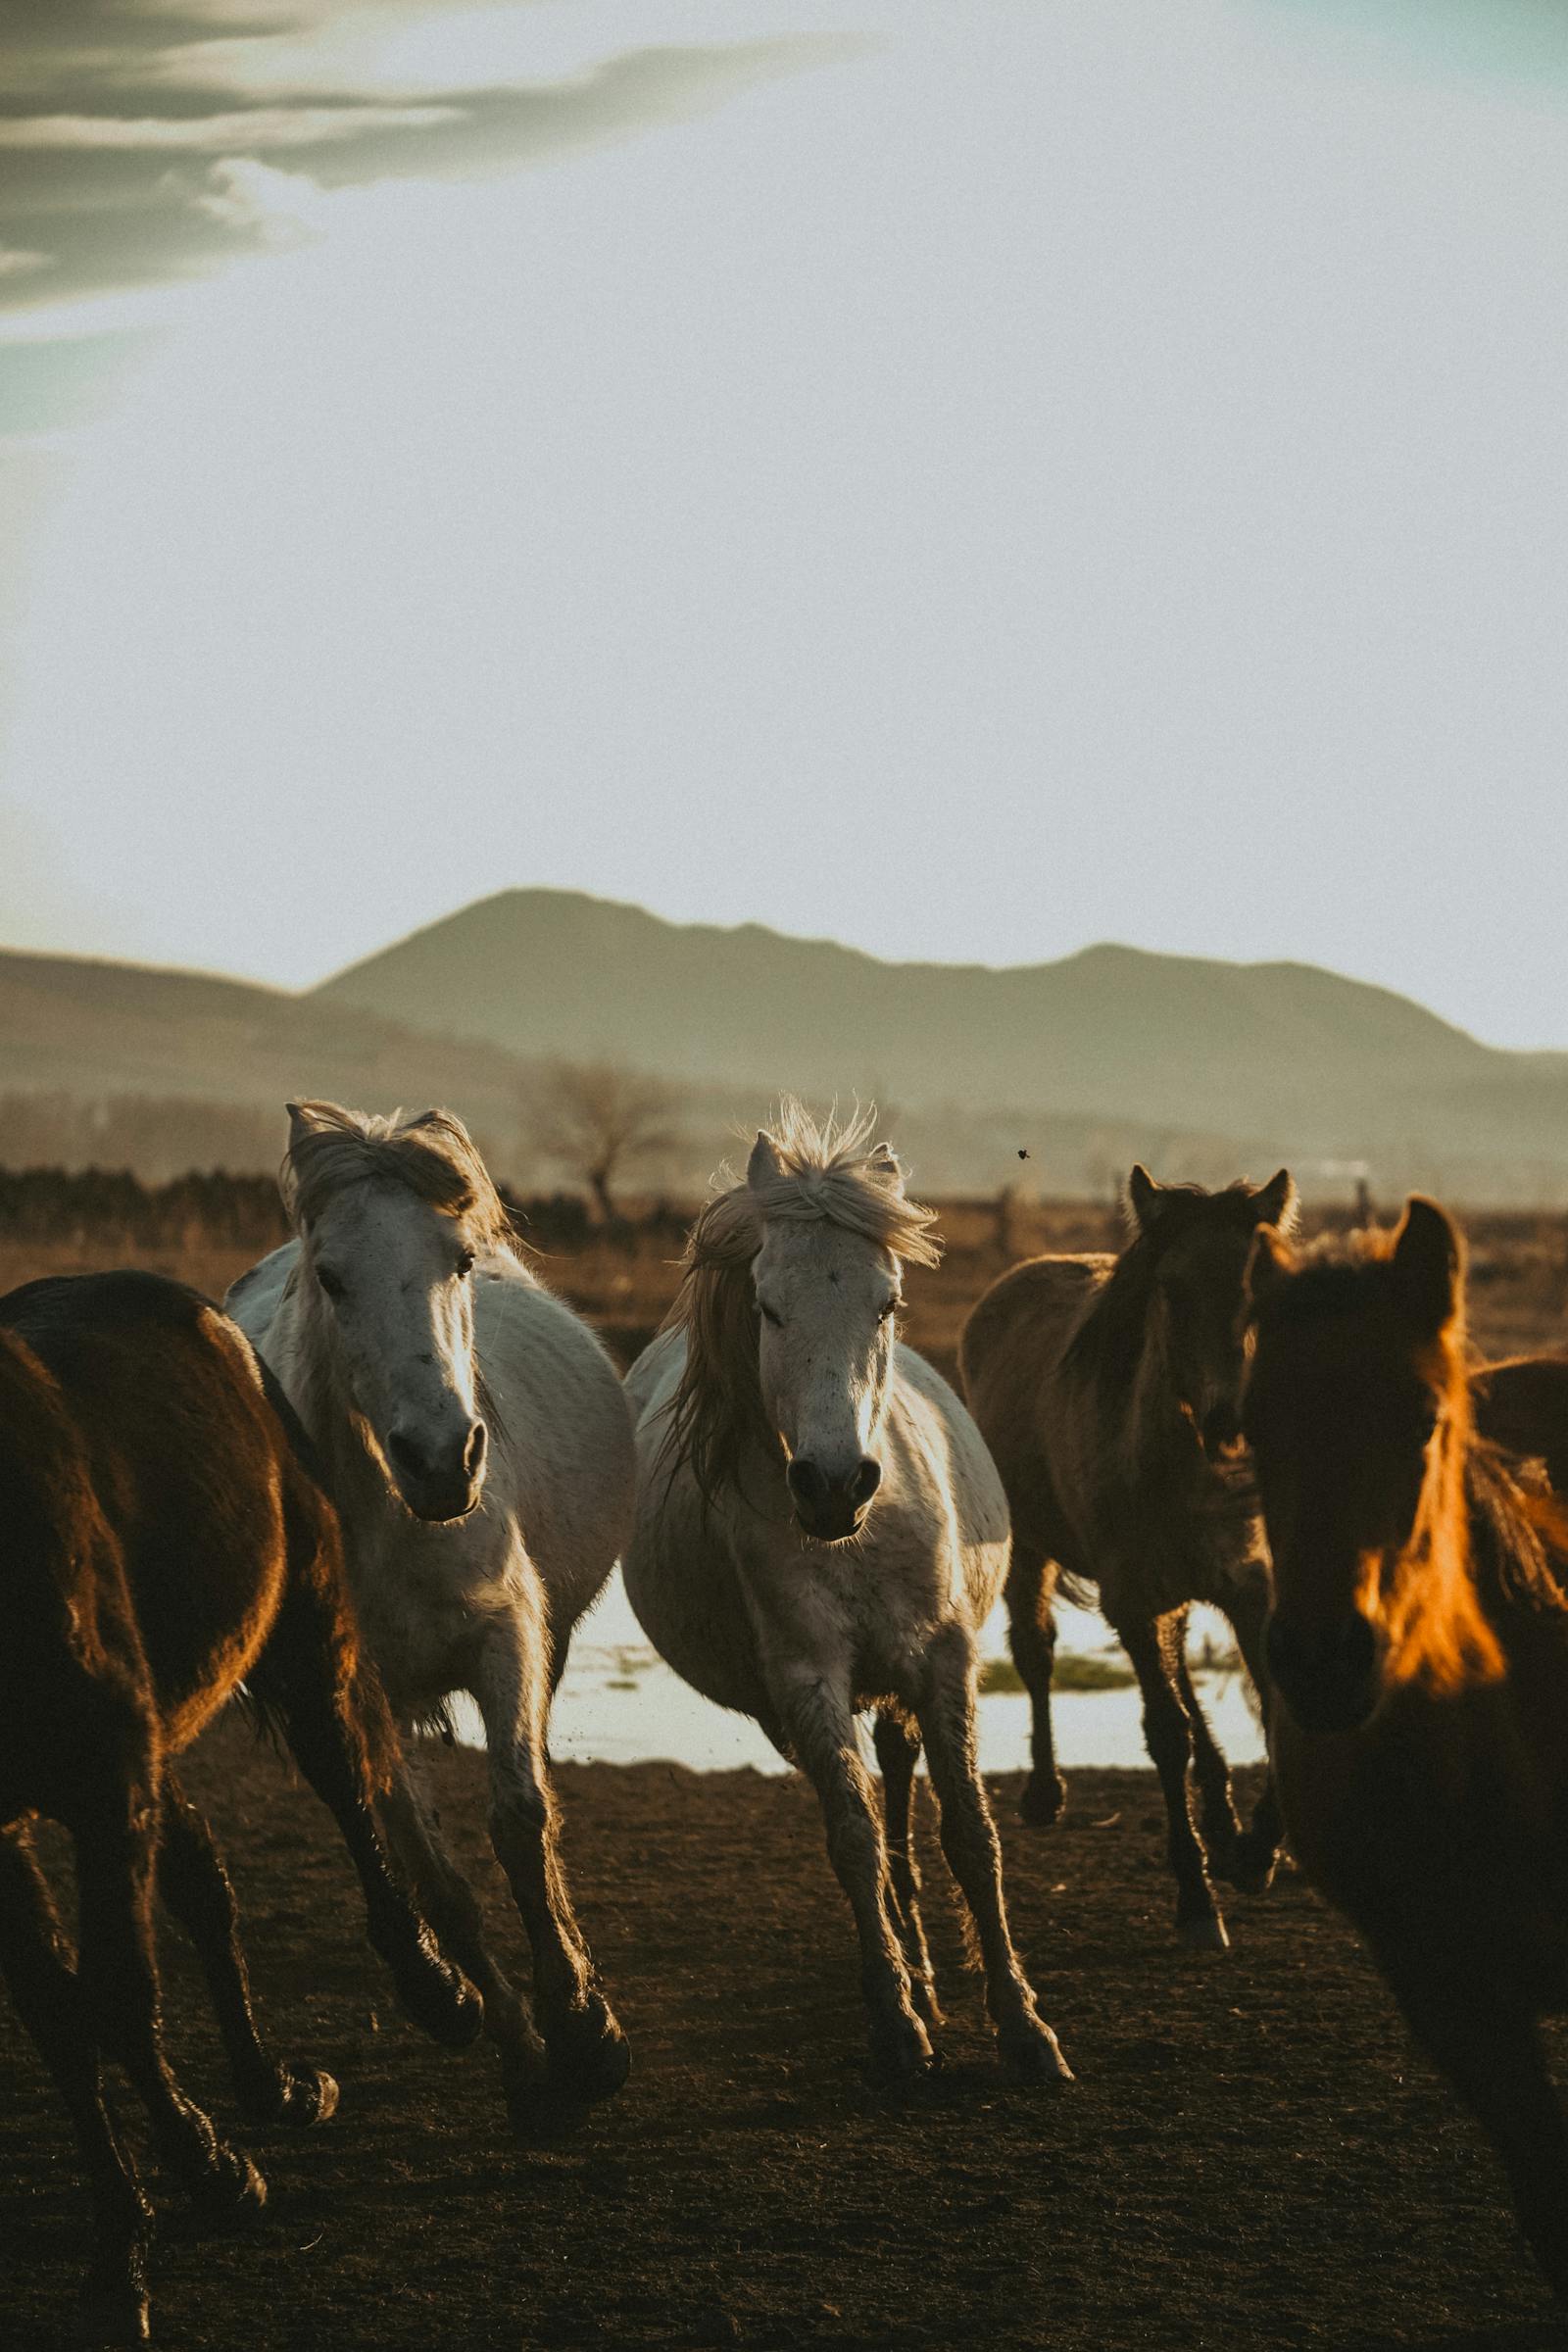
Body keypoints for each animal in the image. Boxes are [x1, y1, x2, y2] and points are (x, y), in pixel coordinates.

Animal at [0, 1270, 481, 2347]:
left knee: (347, 1791)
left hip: (302, 1631)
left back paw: (437, 1992)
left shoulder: (105, 1776)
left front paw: (197, 2181)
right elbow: (61, 2016)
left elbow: (117, 1995)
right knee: (205, 1888)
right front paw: (136, 2226)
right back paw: (273, 2088)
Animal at [227, 1102, 636, 2130]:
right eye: (331, 1276)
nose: (443, 1459)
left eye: (458, 1260)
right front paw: (522, 2050)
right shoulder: (350, 1695)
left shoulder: (509, 1639)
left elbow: (522, 1817)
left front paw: (588, 2031)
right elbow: (437, 1878)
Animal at [622, 1105, 1070, 2086]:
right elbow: (854, 1839)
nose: (833, 1485)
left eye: (887, 1302)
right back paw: (913, 1975)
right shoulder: (807, 1682)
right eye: (767, 1306)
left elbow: (970, 1836)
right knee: (868, 1801)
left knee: (898, 1781)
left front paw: (1023, 2024)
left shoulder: (944, 1664)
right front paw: (898, 2024)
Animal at [959, 1165, 1295, 1950]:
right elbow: (1165, 1734)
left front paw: (1257, 1851)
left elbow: (1269, 1705)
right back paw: (1045, 1793)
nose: (1228, 1419)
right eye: (1171, 1287)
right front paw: (1198, 1900)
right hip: (1031, 1549)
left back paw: (1225, 1821)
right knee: (1037, 1651)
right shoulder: (1132, 1596)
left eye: (1261, 1282)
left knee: (1180, 1670)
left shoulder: (1248, 1587)